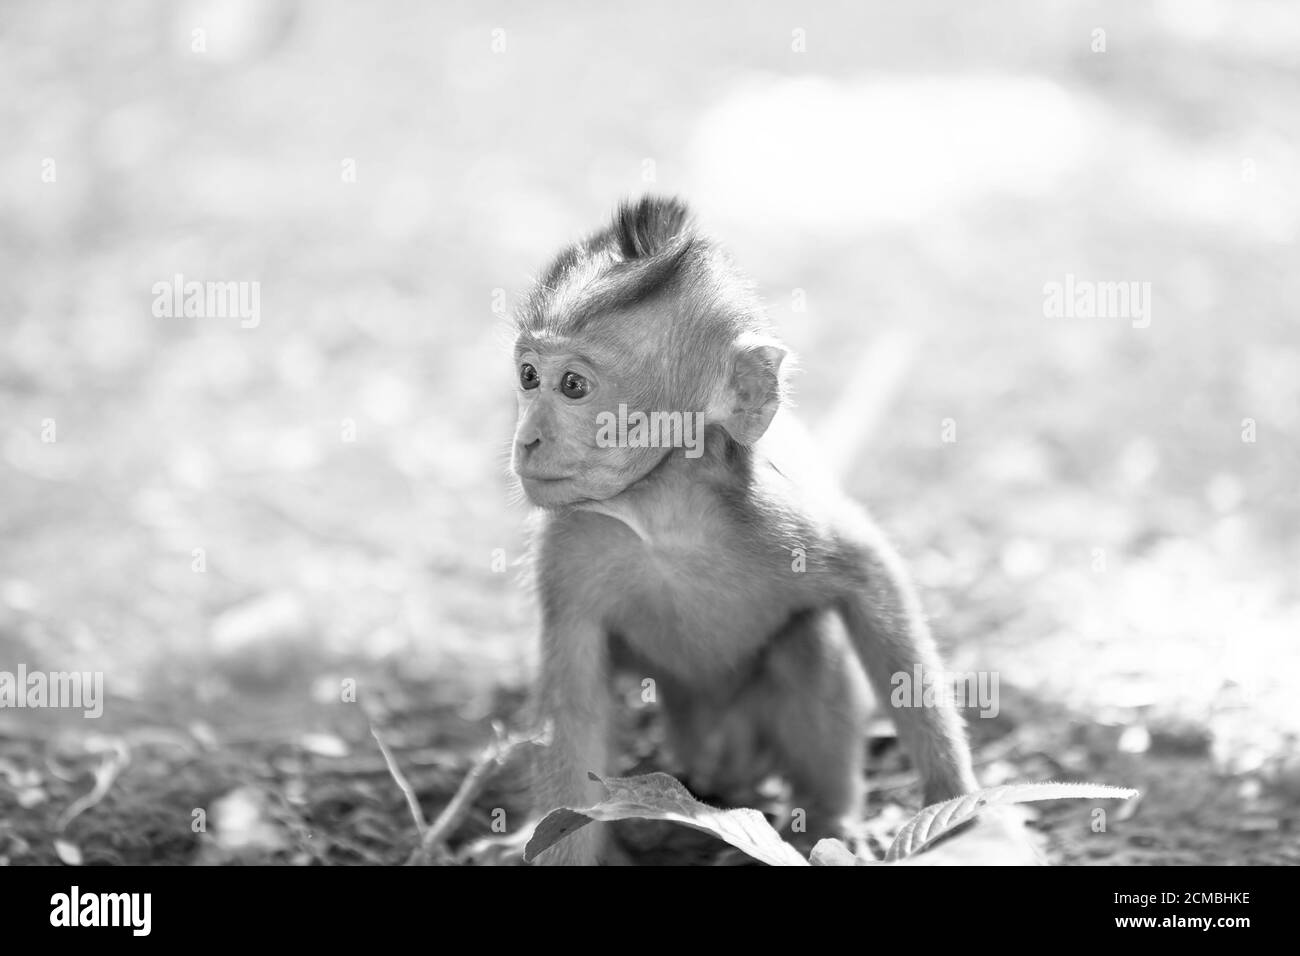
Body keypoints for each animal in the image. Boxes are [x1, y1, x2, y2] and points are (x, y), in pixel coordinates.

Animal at [511, 196, 978, 865]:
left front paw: (956, 806)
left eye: (573, 386)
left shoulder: (779, 516)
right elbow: (573, 705)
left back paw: (826, 820)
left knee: (803, 641)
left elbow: (873, 579)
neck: (662, 516)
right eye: (527, 375)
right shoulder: (568, 547)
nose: (527, 439)